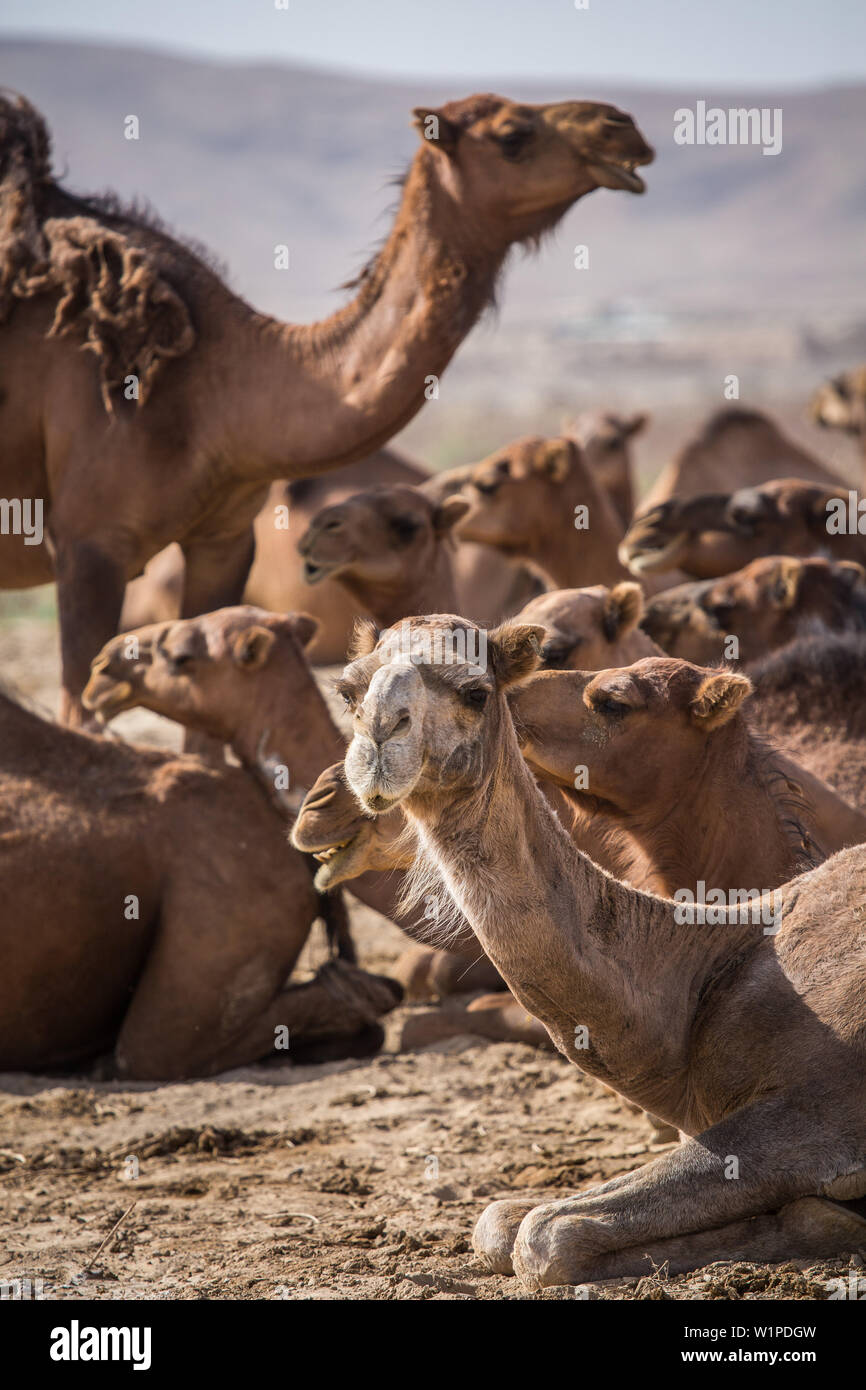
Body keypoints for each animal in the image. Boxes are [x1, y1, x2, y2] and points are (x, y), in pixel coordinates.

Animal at [0, 91, 652, 725]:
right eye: (513, 134)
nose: (622, 126)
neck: (211, 387)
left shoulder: (224, 538)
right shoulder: (89, 544)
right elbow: (80, 711)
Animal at [338, 614, 866, 1286]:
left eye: (476, 691)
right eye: (348, 690)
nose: (381, 737)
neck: (700, 972)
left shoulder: (818, 1102)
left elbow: (545, 1234)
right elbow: (501, 1222)